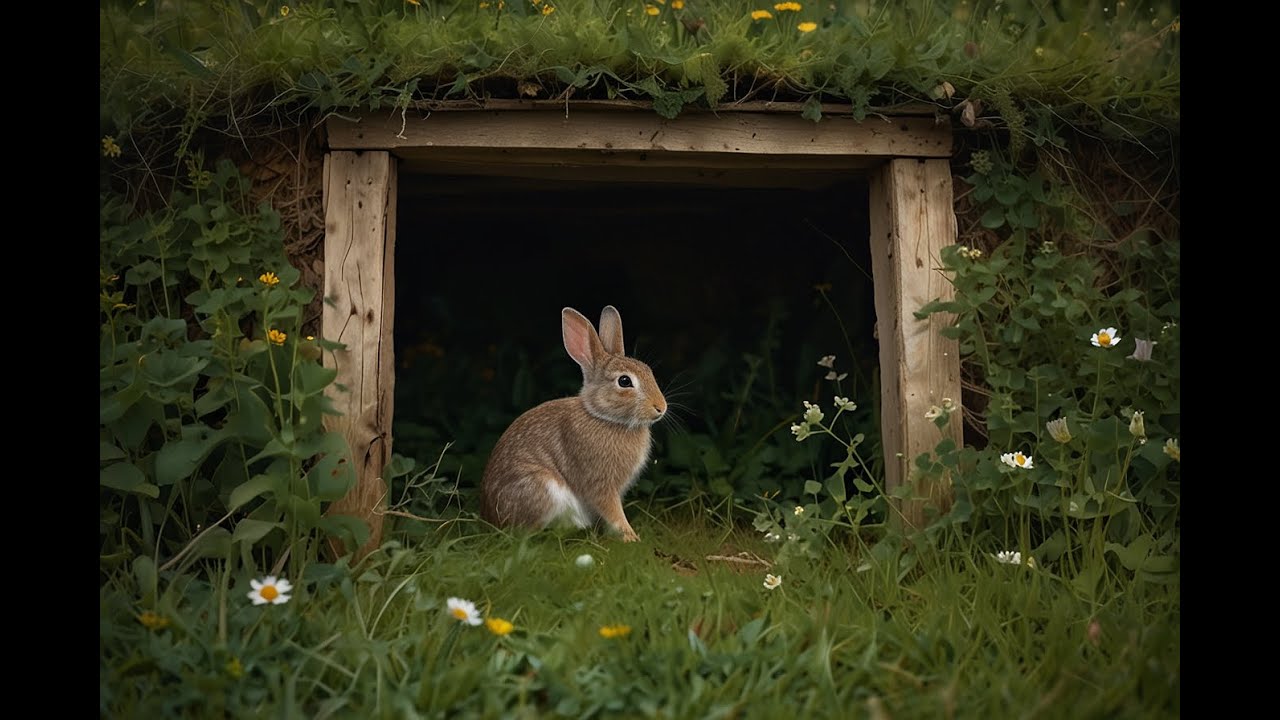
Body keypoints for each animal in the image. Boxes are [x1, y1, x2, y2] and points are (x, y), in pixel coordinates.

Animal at [480, 305, 667, 542]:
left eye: (649, 371)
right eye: (624, 381)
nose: (661, 407)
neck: (603, 416)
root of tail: (489, 517)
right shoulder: (600, 483)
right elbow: (613, 511)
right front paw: (631, 538)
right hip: (542, 488)